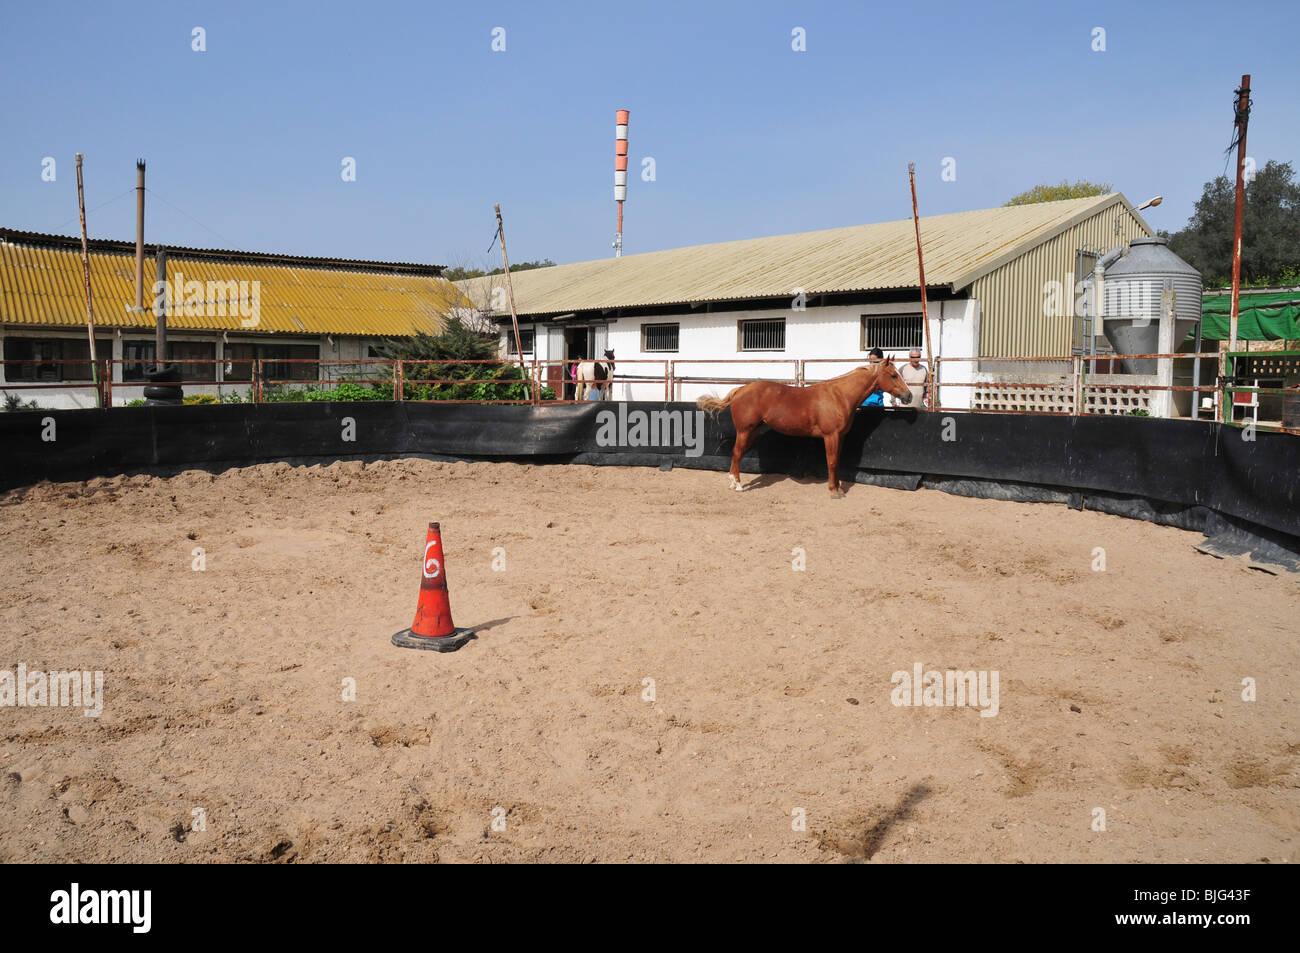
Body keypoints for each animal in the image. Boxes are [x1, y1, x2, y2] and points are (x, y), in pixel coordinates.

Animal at [697, 359, 914, 497]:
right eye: (893, 375)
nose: (908, 396)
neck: (839, 395)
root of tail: (741, 389)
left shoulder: (841, 437)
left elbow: (837, 462)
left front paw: (838, 489)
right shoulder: (831, 436)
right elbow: (831, 462)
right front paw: (833, 491)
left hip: (753, 430)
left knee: (738, 454)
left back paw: (734, 483)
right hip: (745, 430)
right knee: (737, 453)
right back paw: (738, 485)